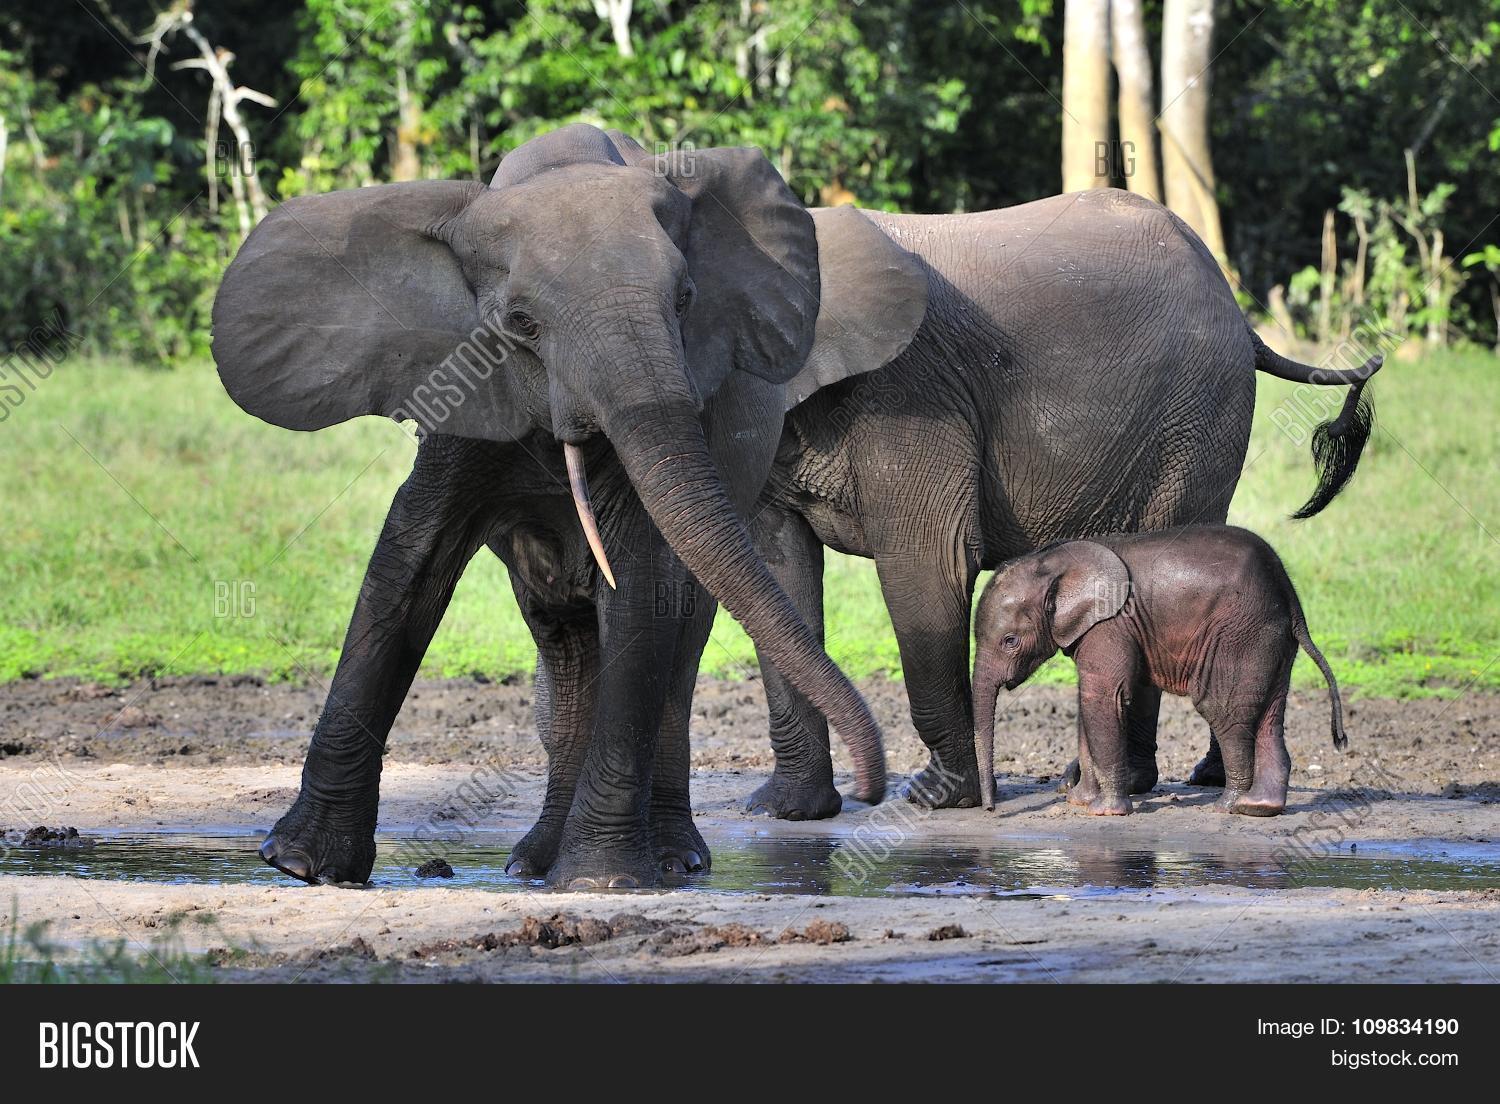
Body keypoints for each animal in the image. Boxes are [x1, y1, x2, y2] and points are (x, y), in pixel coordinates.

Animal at [210, 124, 934, 888]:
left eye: (685, 300)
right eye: (521, 323)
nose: (872, 790)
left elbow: (641, 587)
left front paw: (600, 881)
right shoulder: (463, 384)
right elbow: (408, 563)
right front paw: (301, 866)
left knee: (675, 651)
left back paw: (670, 860)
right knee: (564, 647)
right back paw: (532, 864)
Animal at [970, 526, 1349, 817]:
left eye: (1009, 641)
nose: (990, 809)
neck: (1052, 561)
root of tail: (1292, 598)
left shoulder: (1110, 623)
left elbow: (1102, 697)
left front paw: (1104, 812)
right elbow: (1087, 702)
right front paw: (1079, 802)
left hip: (1242, 633)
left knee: (1221, 709)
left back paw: (1228, 806)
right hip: (1270, 640)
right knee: (1269, 716)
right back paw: (1259, 807)